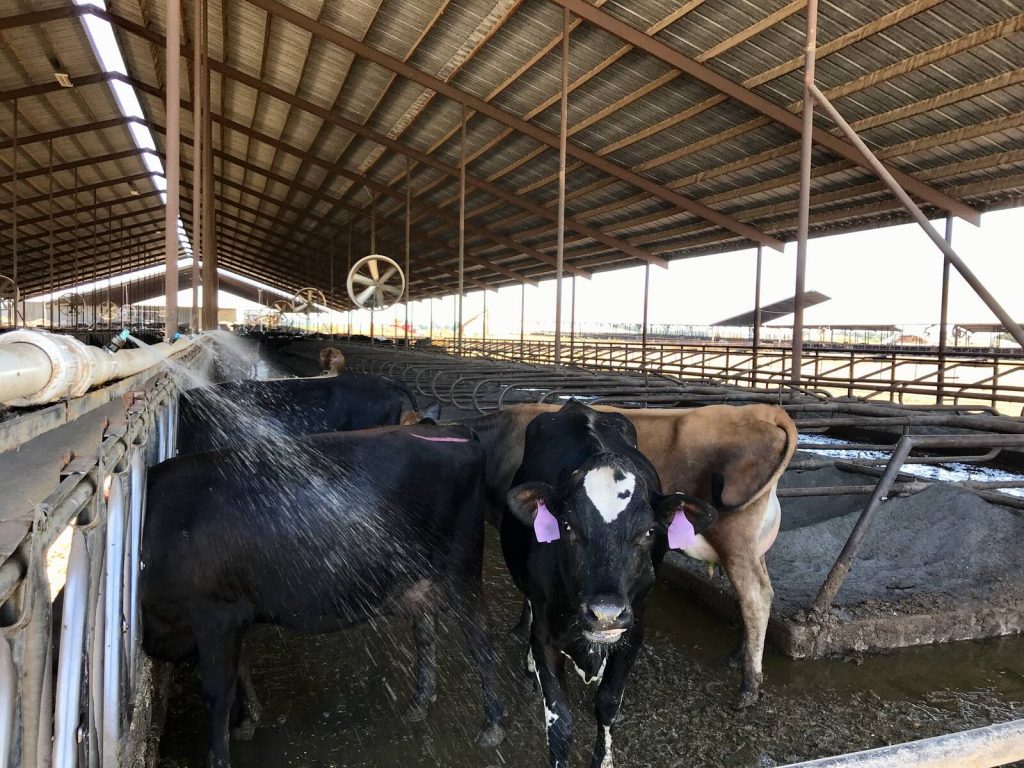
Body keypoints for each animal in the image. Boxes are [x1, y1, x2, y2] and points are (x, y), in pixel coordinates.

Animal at [141, 423, 505, 768]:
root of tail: (452, 429)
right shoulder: (236, 615)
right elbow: (242, 665)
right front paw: (247, 721)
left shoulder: (218, 614)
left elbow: (218, 694)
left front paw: (219, 755)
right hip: (417, 576)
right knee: (425, 632)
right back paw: (418, 703)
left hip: (461, 567)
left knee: (480, 636)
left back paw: (492, 725)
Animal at [463, 401, 796, 709]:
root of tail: (763, 410)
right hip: (752, 545)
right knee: (757, 594)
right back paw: (738, 656)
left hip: (735, 538)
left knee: (755, 596)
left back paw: (749, 686)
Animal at [501, 400, 717, 768]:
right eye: (567, 527)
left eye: (649, 532)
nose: (606, 614)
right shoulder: (546, 634)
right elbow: (559, 721)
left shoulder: (634, 631)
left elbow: (607, 704)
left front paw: (603, 758)